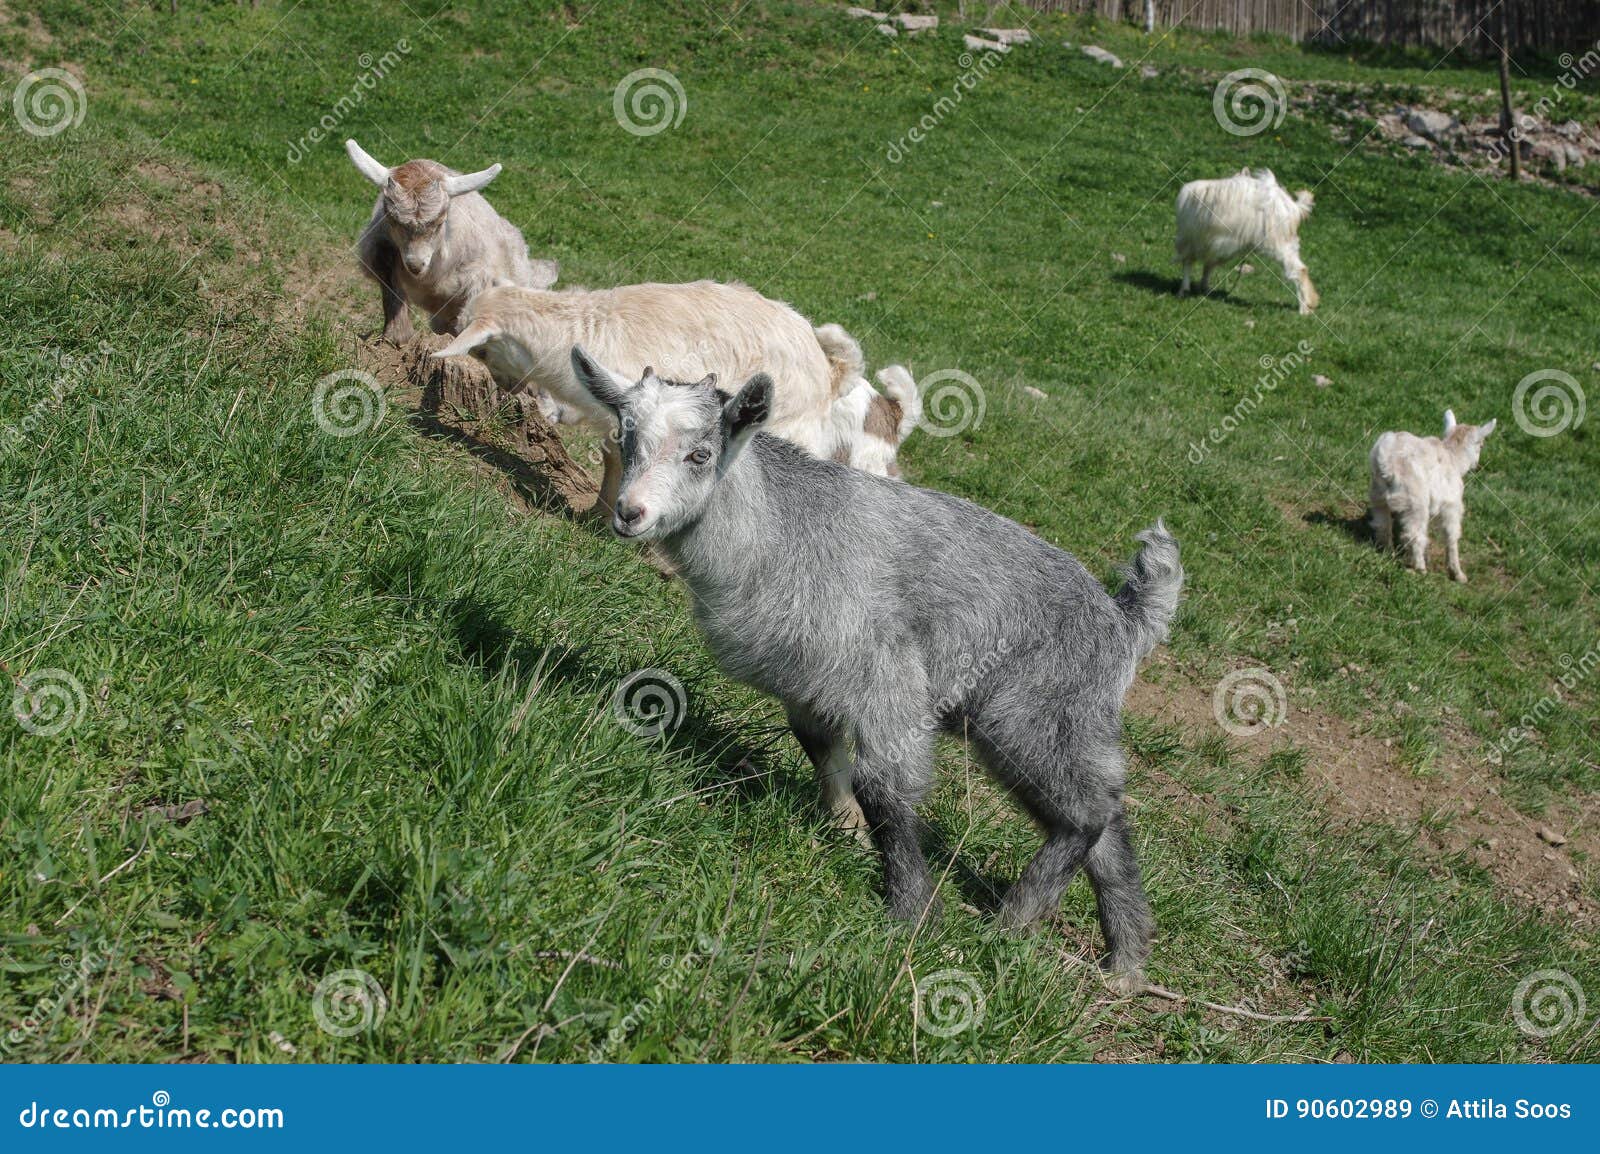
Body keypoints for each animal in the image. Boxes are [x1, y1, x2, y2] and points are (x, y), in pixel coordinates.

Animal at [346, 139, 558, 344]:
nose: (416, 265)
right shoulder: (380, 249)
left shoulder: (479, 279)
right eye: (391, 219)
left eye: (441, 221)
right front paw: (397, 337)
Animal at [568, 346, 1183, 984]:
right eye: (626, 437)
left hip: (1033, 710)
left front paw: (911, 912)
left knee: (1087, 815)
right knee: (1109, 815)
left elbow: (883, 787)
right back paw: (1126, 961)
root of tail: (1123, 622)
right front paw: (845, 830)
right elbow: (819, 746)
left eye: (700, 455)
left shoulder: (886, 678)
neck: (779, 530)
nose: (629, 513)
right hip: (1070, 723)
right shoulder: (806, 680)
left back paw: (1016, 918)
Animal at [1175, 168, 1318, 314]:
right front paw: (1204, 288)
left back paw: (1304, 309)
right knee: (1301, 268)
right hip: (1287, 242)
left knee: (1298, 269)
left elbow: (1188, 264)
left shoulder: (1190, 240)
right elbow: (1208, 266)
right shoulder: (1212, 246)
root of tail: (1294, 207)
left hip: (1277, 242)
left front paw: (1184, 291)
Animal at [1369, 409, 1496, 582]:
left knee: (1382, 524)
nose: (1476, 465)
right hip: (1415, 499)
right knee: (1415, 534)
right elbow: (1452, 535)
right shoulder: (1452, 505)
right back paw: (1421, 569)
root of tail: (1386, 461)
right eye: (1481, 445)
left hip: (1378, 494)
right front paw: (1458, 574)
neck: (1453, 457)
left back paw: (1388, 553)